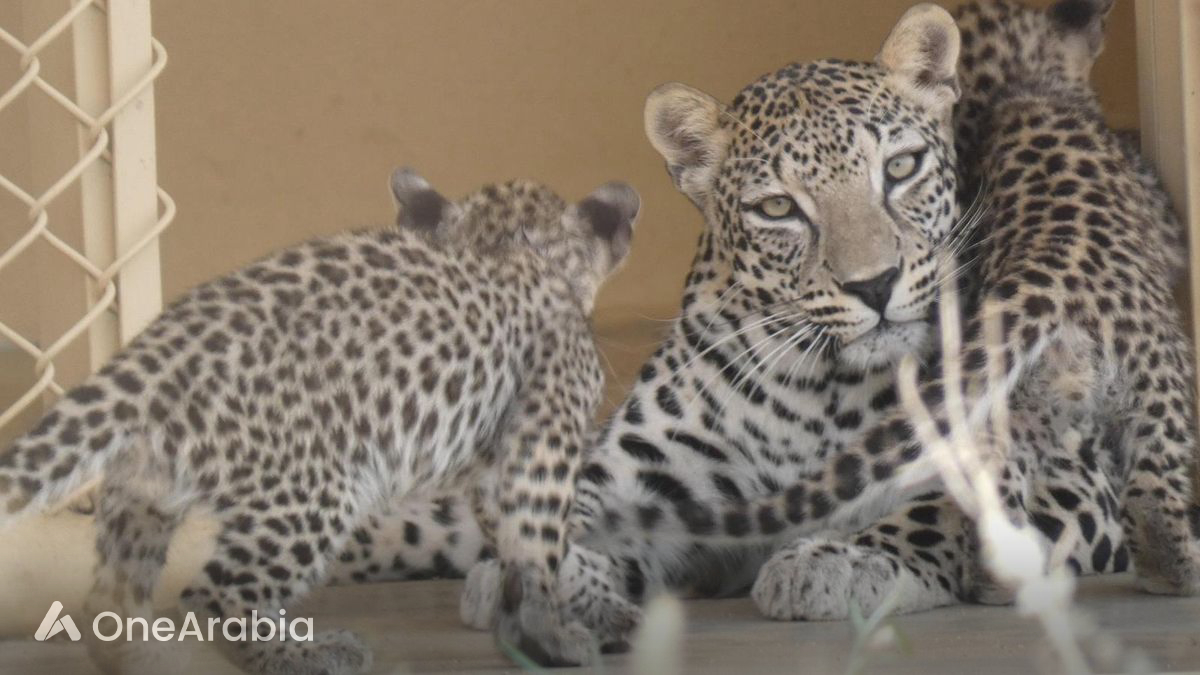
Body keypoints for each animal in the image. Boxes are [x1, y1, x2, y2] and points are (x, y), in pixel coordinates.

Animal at [0, 168, 640, 674]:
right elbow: (540, 544)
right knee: (213, 597)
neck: (511, 246)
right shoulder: (547, 436)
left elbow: (531, 544)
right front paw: (558, 634)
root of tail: (151, 360)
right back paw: (307, 654)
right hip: (316, 492)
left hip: (142, 494)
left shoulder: (496, 467)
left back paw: (147, 659)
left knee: (109, 602)